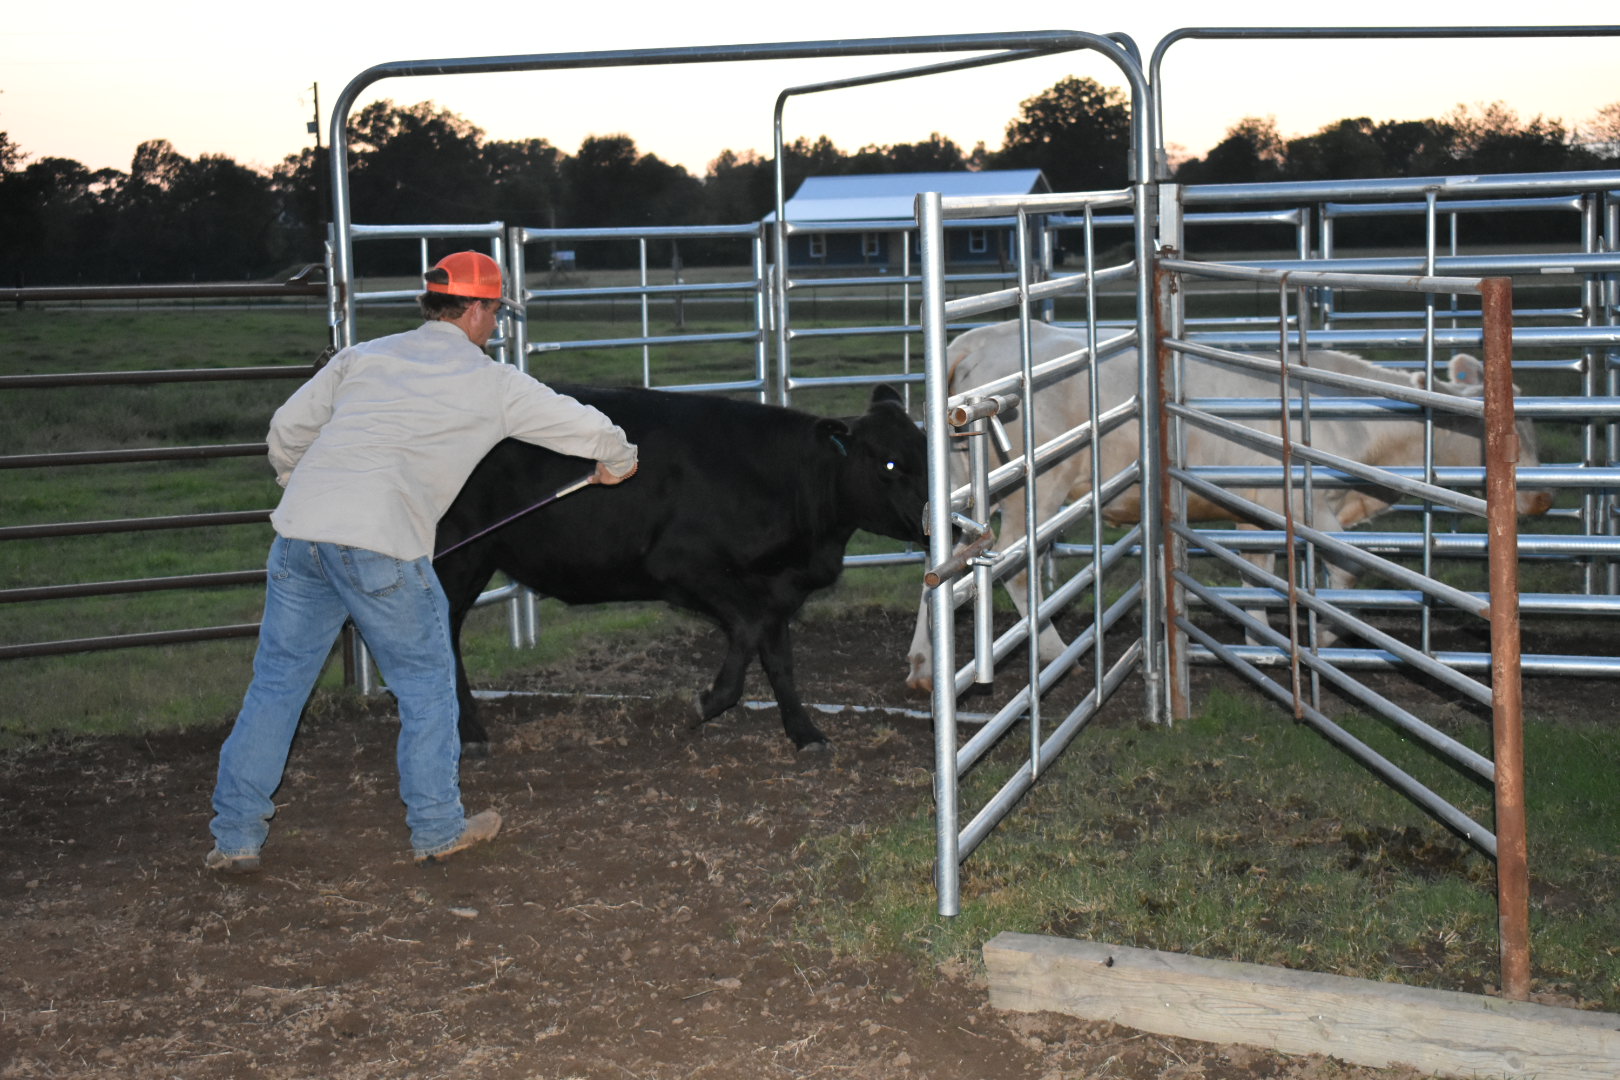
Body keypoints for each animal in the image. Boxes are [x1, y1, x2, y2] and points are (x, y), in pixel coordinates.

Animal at [434, 383, 928, 753]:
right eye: (890, 464)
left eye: (928, 450)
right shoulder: (683, 568)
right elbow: (746, 630)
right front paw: (707, 701)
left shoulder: (774, 587)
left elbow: (779, 660)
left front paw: (806, 734)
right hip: (458, 556)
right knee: (445, 632)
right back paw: (469, 733)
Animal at [905, 318, 1555, 692]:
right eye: (1511, 435)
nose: (1545, 497)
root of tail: (979, 339)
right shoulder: (1308, 508)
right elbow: (1342, 570)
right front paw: (1319, 637)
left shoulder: (1261, 512)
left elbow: (1266, 577)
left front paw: (1269, 640)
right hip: (1033, 490)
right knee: (1013, 568)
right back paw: (1053, 650)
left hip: (964, 487)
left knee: (941, 562)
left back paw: (923, 665)